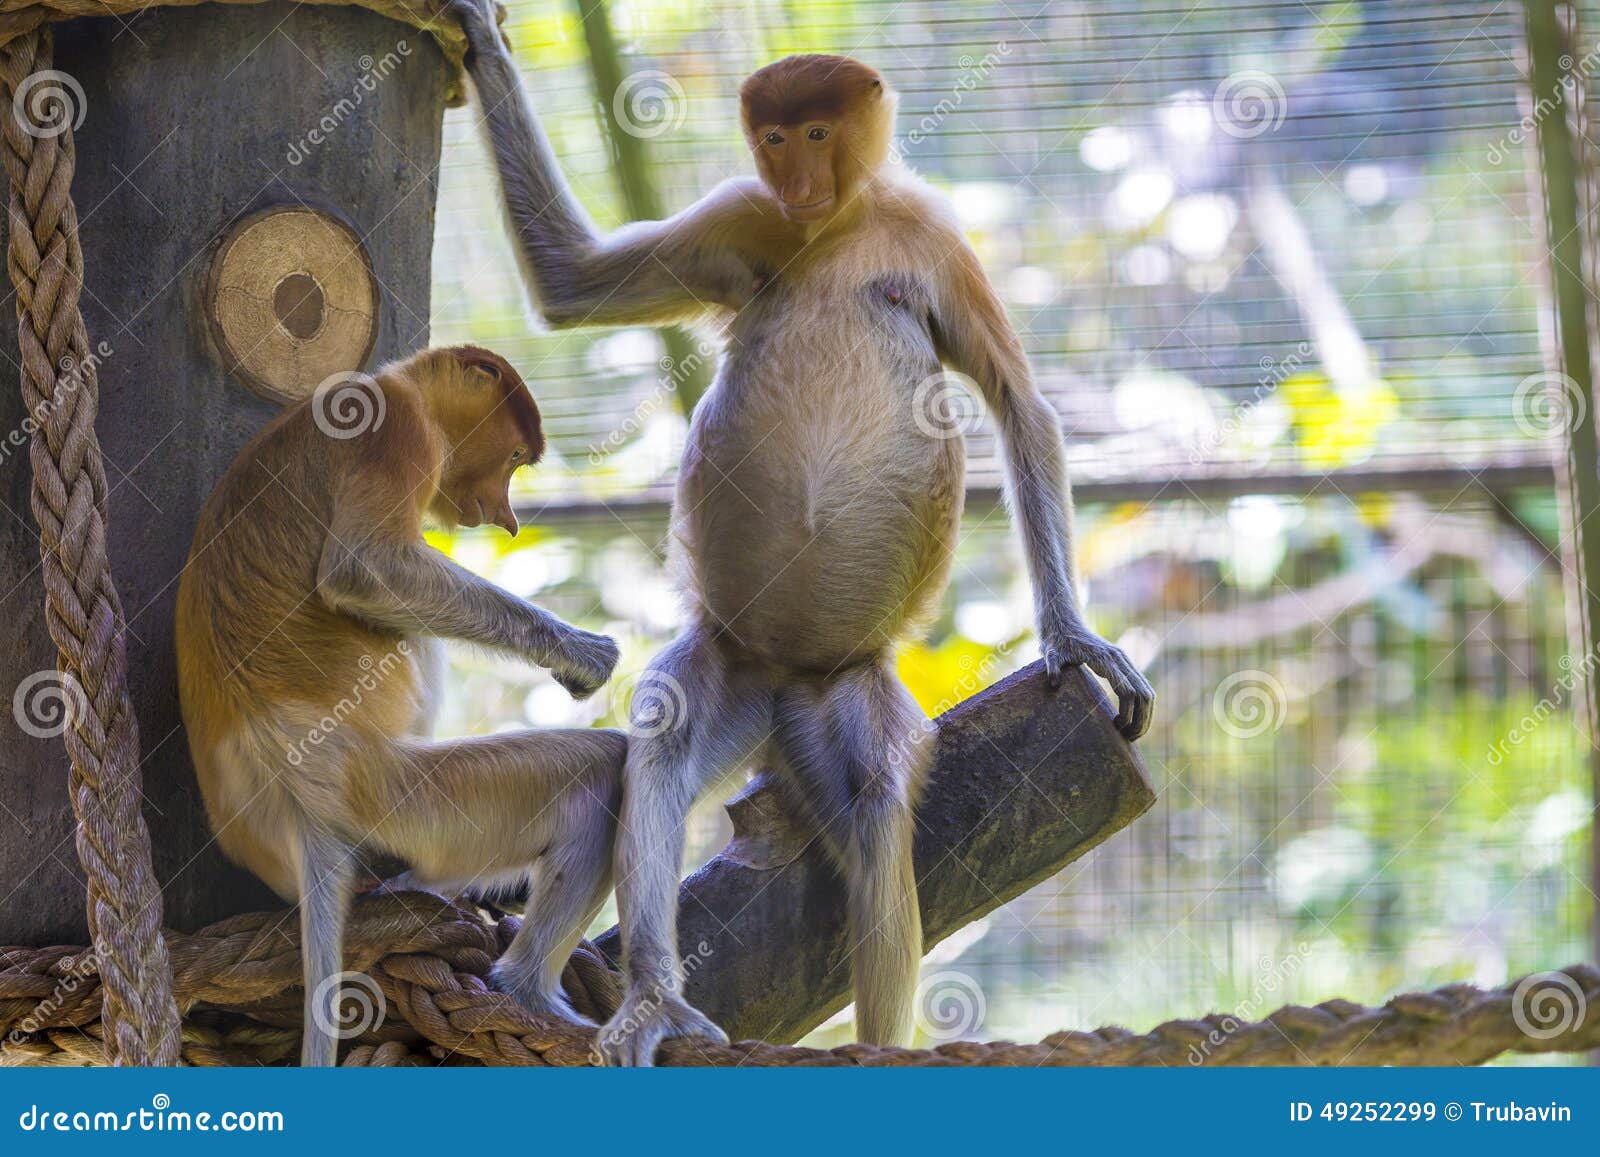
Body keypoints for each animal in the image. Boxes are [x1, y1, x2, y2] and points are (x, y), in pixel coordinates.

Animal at [175, 345, 625, 1067]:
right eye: (514, 458)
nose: (506, 518)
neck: (400, 385)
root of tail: (297, 805)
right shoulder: (397, 433)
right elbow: (365, 570)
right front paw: (581, 652)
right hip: (402, 795)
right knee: (599, 773)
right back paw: (525, 990)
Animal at [451, 4, 1155, 1065]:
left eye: (818, 132)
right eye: (774, 139)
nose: (798, 179)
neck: (839, 223)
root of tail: (785, 676)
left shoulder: (935, 239)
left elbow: (1019, 406)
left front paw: (1076, 645)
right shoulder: (745, 213)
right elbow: (574, 285)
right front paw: (478, 36)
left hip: (847, 684)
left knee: (874, 802)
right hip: (729, 658)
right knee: (665, 741)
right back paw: (649, 996)